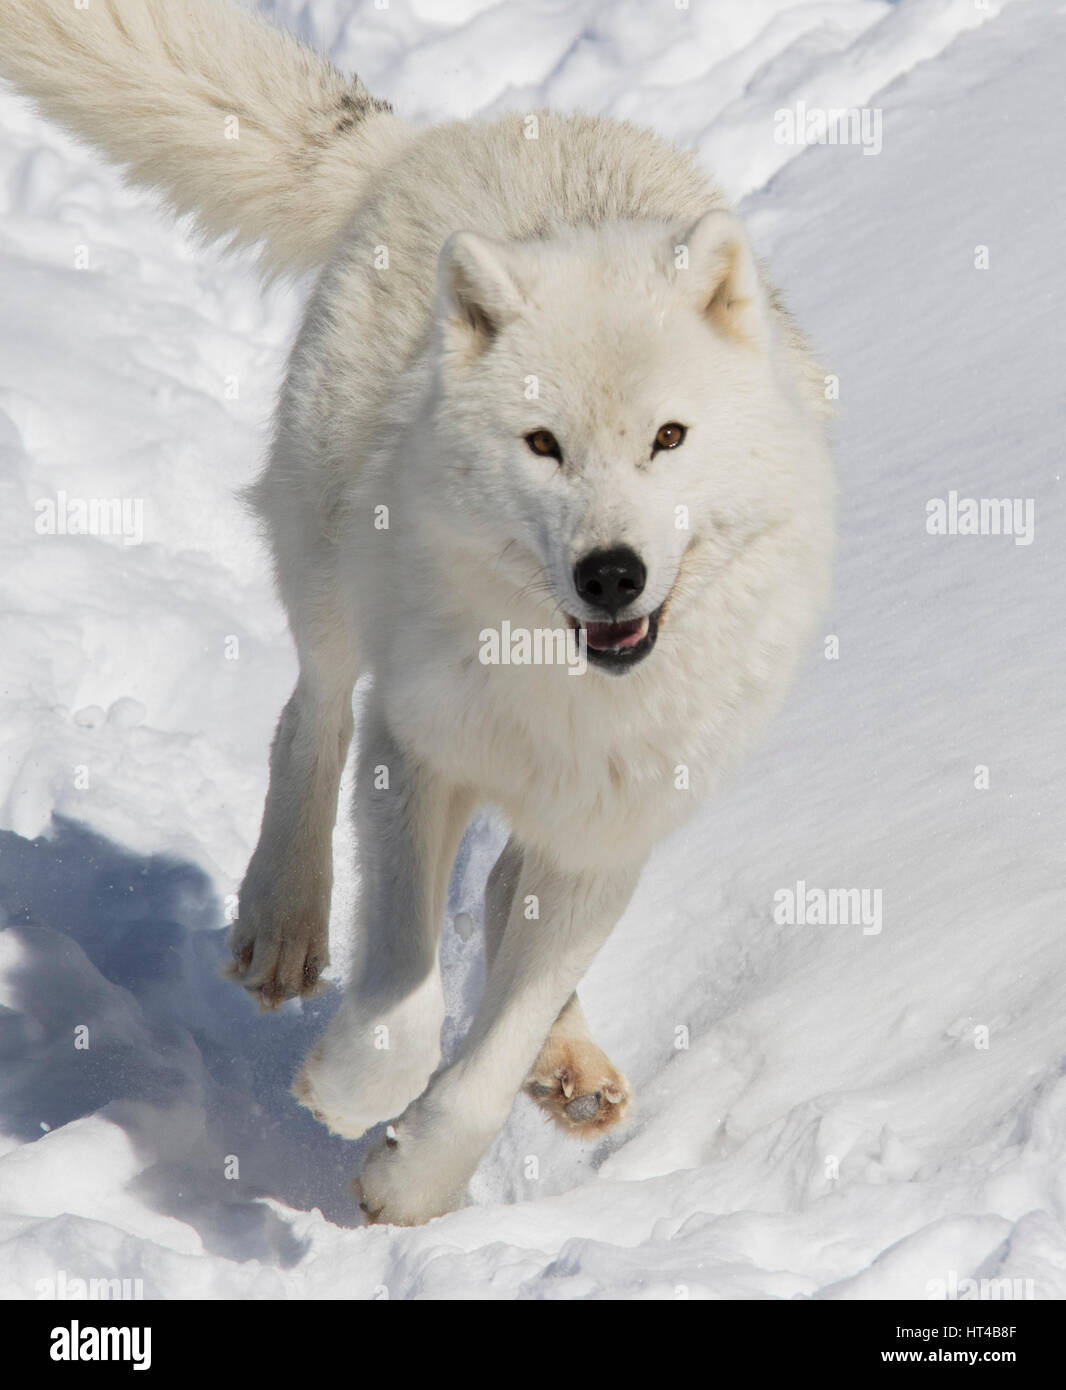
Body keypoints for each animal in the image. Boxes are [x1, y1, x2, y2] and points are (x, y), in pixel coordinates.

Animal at [1, 0, 834, 1225]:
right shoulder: (417, 754)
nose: (612, 574)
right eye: (543, 445)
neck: (565, 685)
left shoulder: (610, 829)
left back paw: (570, 1068)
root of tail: (433, 139)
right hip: (328, 573)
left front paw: (417, 1181)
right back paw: (283, 924)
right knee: (310, 716)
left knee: (498, 894)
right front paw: (349, 1096)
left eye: (669, 439)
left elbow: (491, 1048)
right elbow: (401, 1002)